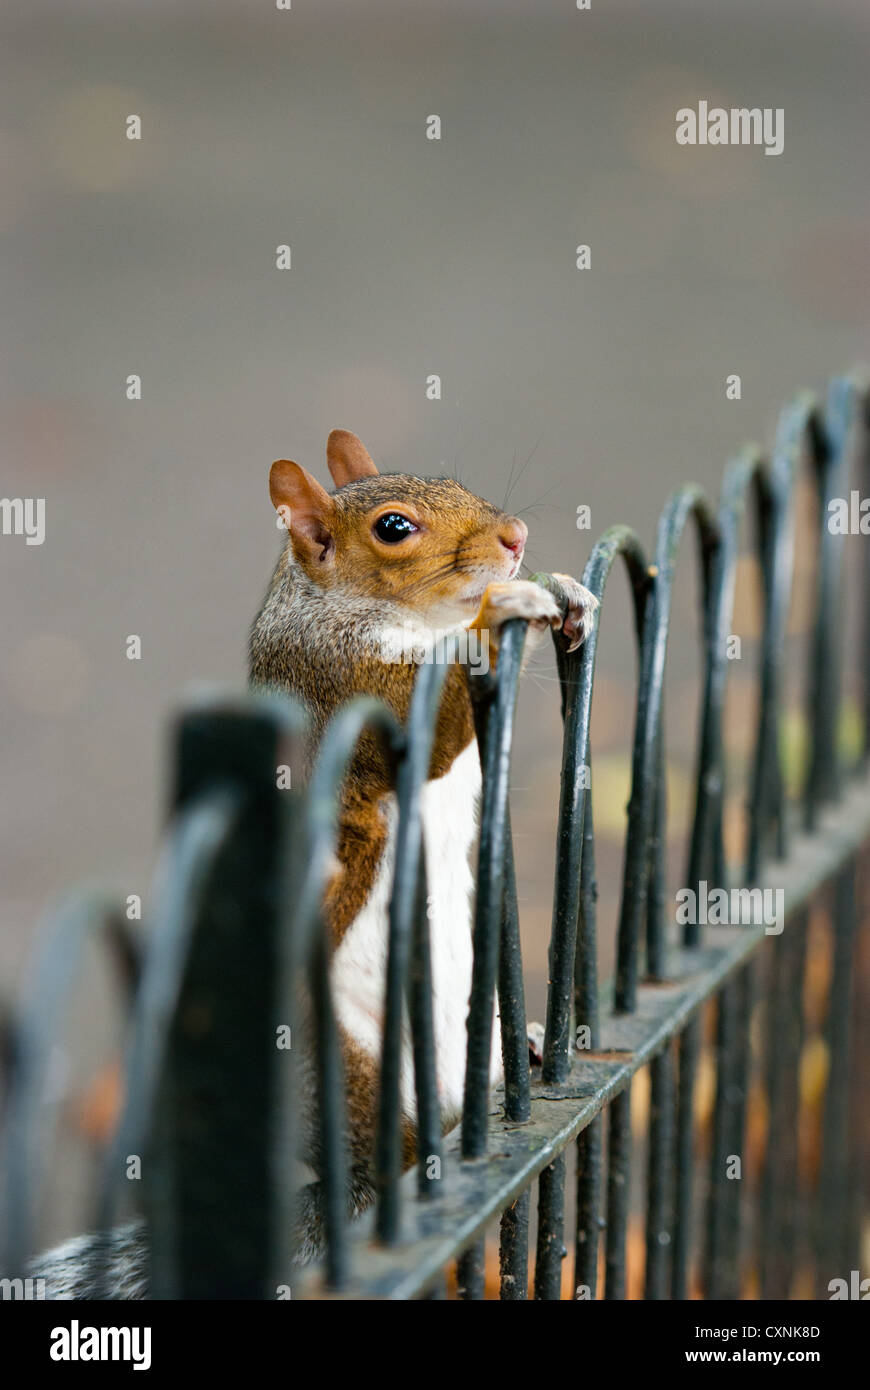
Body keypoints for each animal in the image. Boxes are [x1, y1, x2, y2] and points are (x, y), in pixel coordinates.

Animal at [27, 428, 596, 1296]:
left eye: (451, 480)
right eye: (394, 528)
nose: (516, 539)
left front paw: (561, 589)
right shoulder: (348, 693)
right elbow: (432, 721)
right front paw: (505, 605)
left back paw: (528, 1047)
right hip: (342, 1069)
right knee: (405, 1158)